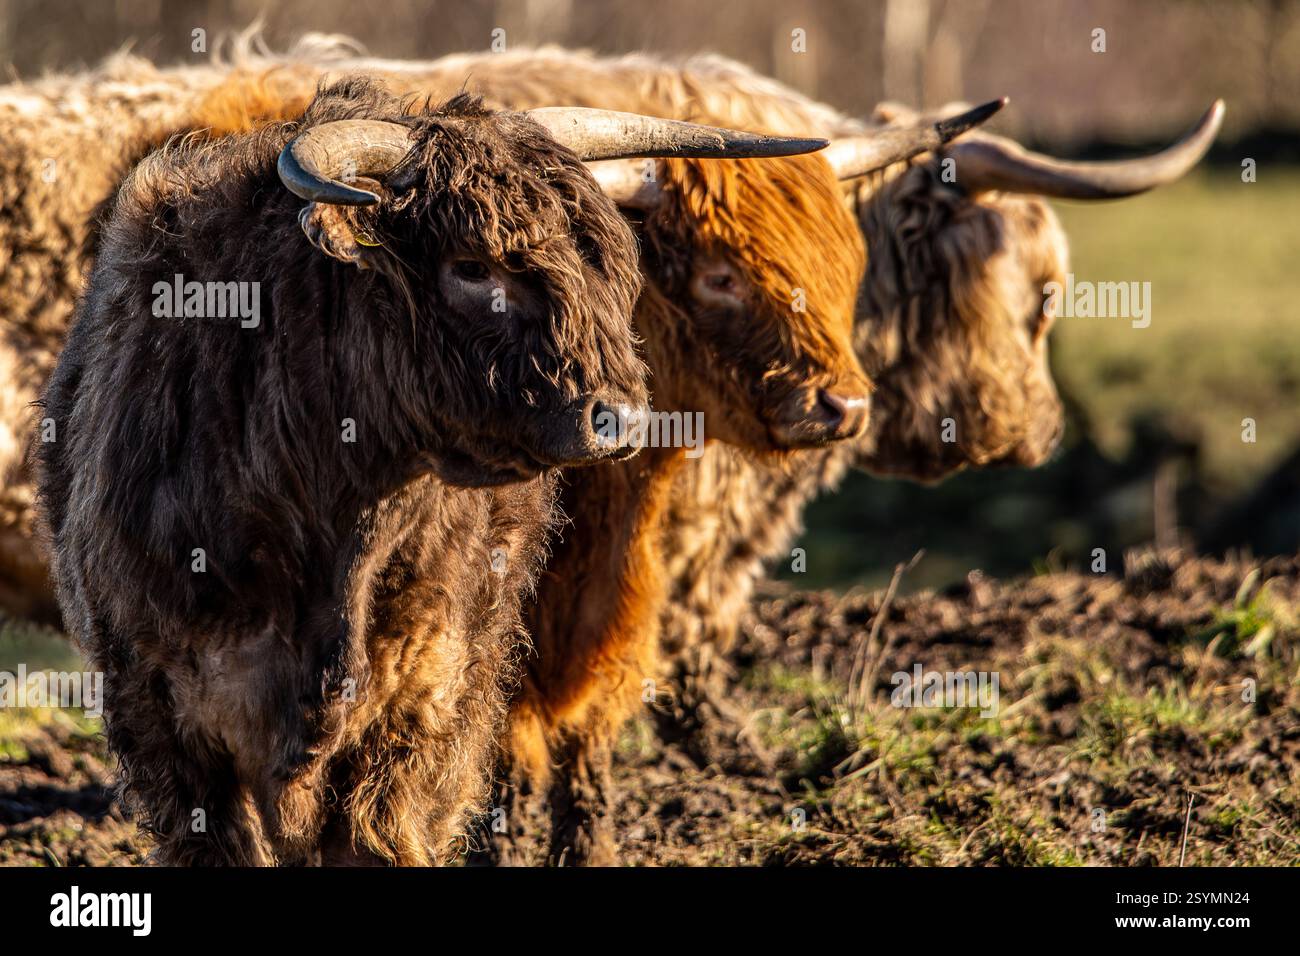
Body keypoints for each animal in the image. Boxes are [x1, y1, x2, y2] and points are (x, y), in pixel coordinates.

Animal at [35, 77, 818, 865]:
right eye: (473, 266)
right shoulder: (167, 713)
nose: (619, 418)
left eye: (604, 261)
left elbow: (379, 831)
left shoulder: (424, 698)